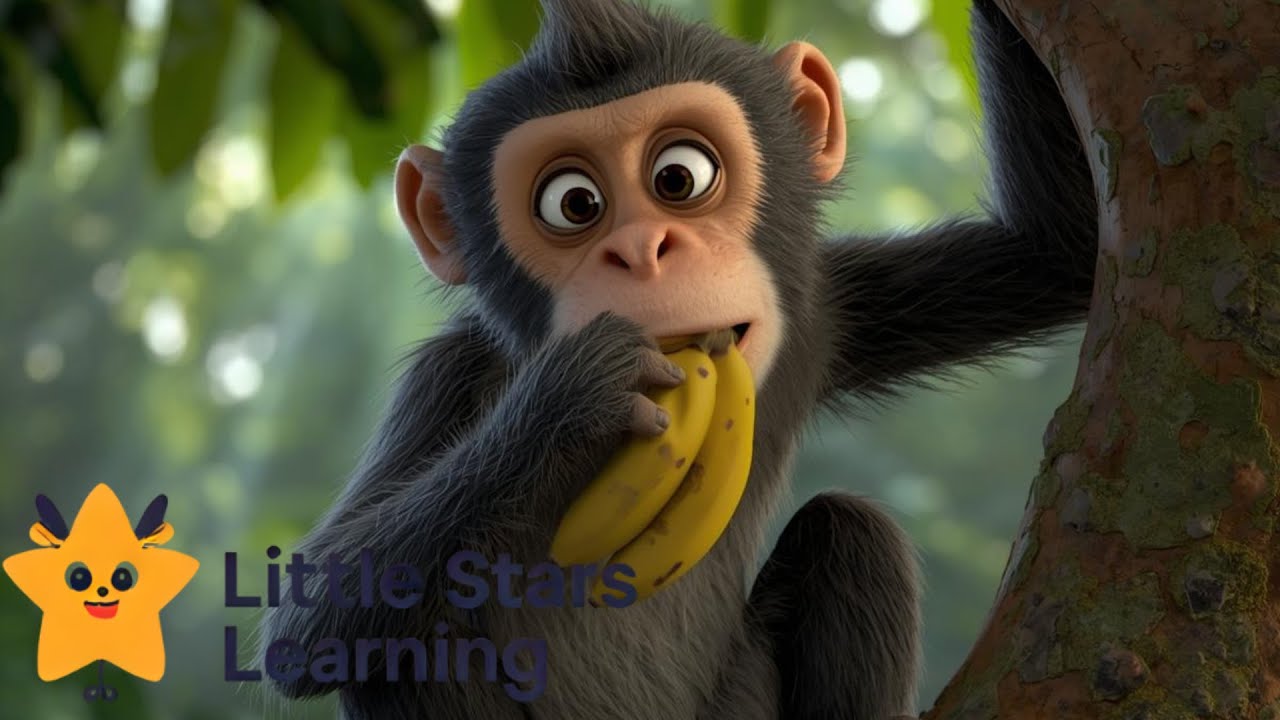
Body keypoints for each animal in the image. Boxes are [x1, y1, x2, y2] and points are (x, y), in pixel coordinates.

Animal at [258, 0, 1097, 718]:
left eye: (680, 177)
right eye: (574, 203)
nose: (640, 249)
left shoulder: (832, 311)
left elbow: (1054, 254)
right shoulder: (451, 372)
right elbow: (309, 619)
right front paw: (575, 393)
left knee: (852, 530)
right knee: (404, 646)